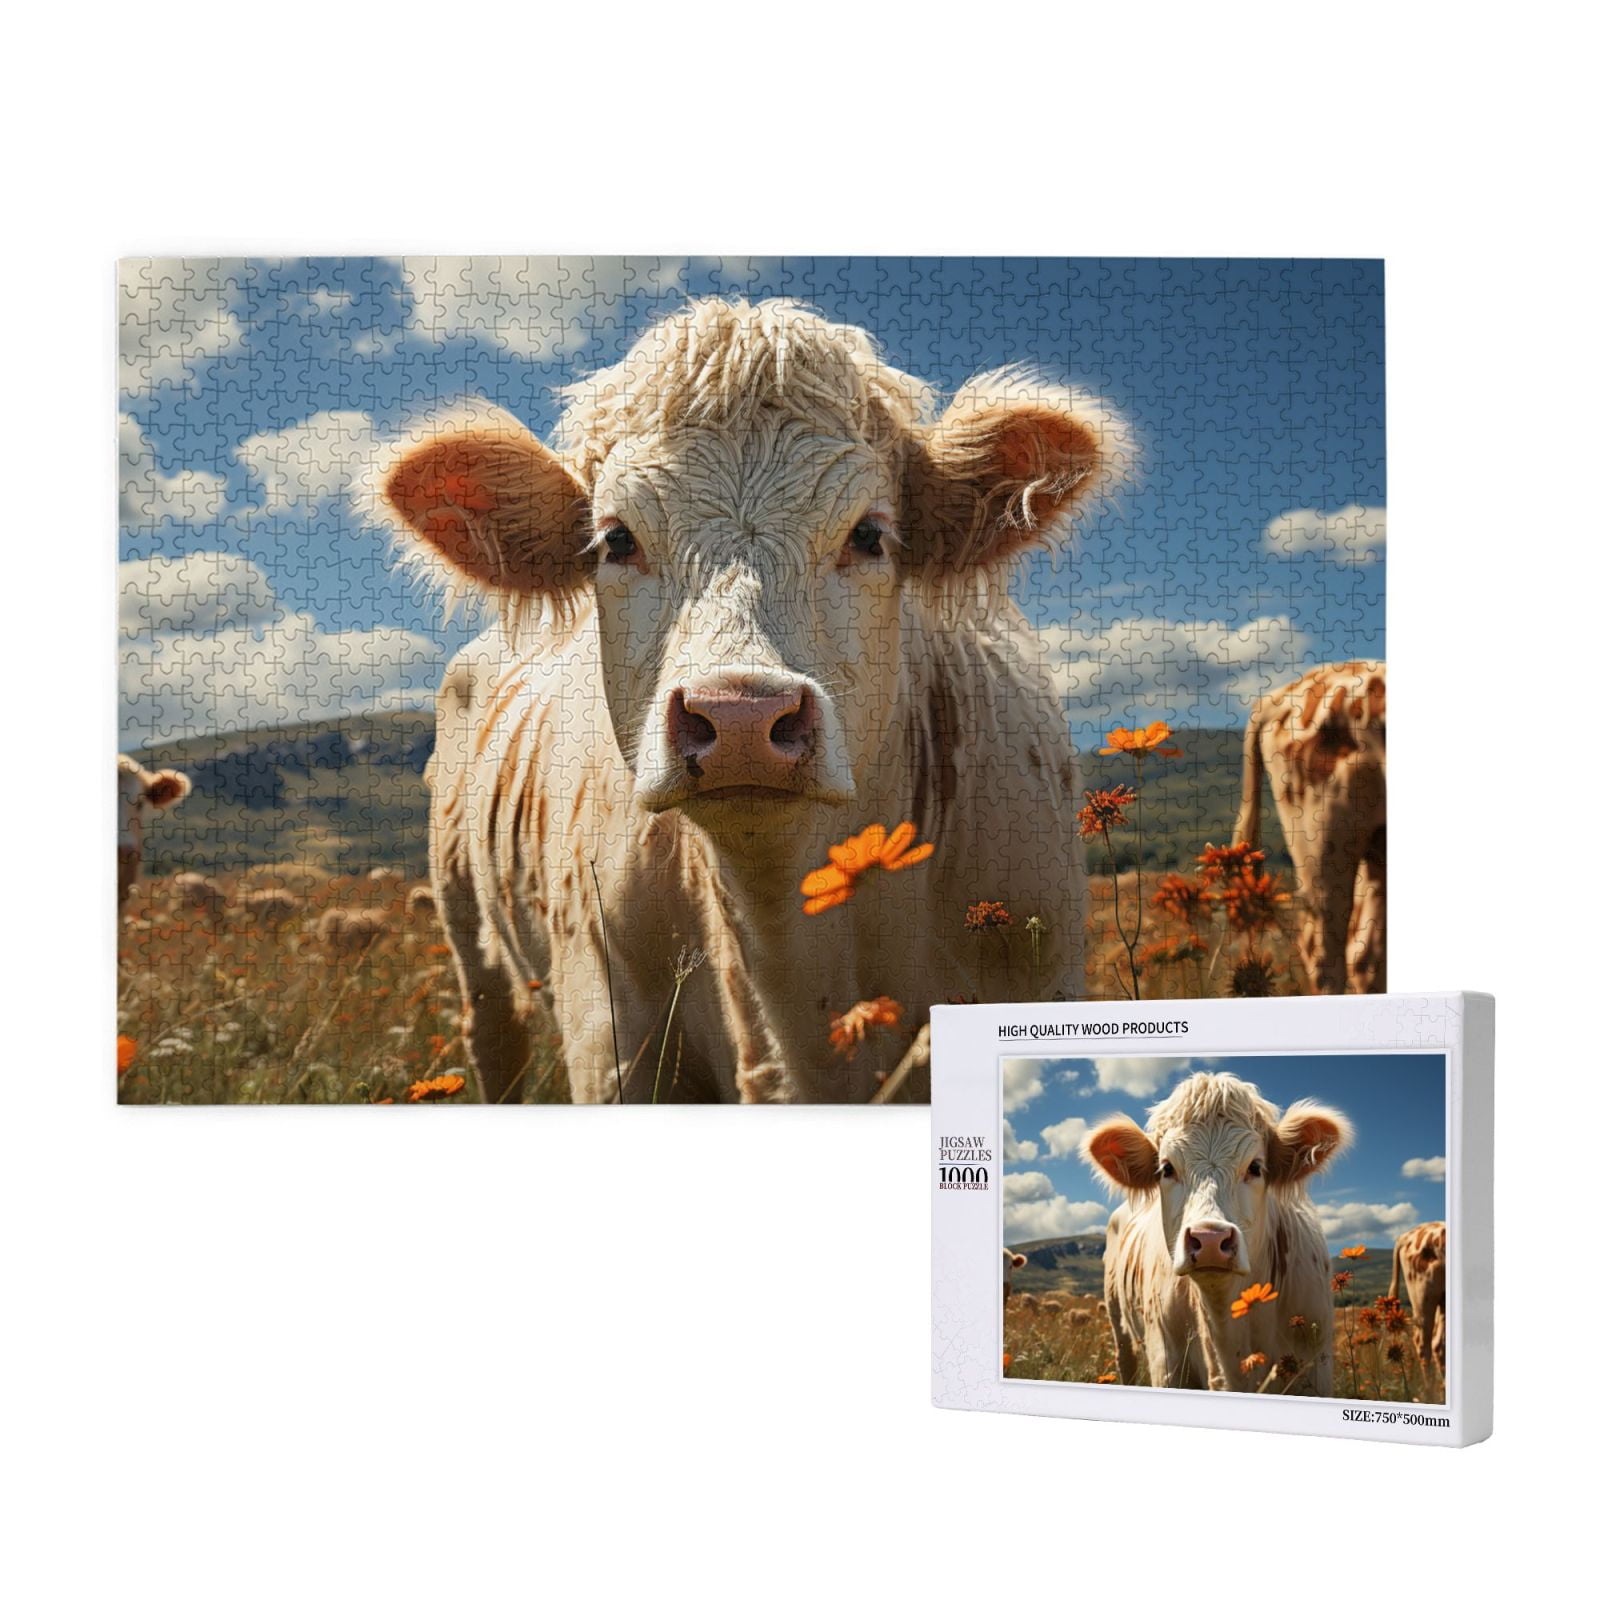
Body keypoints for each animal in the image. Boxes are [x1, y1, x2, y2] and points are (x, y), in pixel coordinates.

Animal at [1082, 1071, 1351, 1394]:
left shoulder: (1316, 1365)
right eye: (1166, 1169)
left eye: (1256, 1167)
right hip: (1118, 1323)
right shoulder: (1167, 1362)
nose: (1209, 1239)